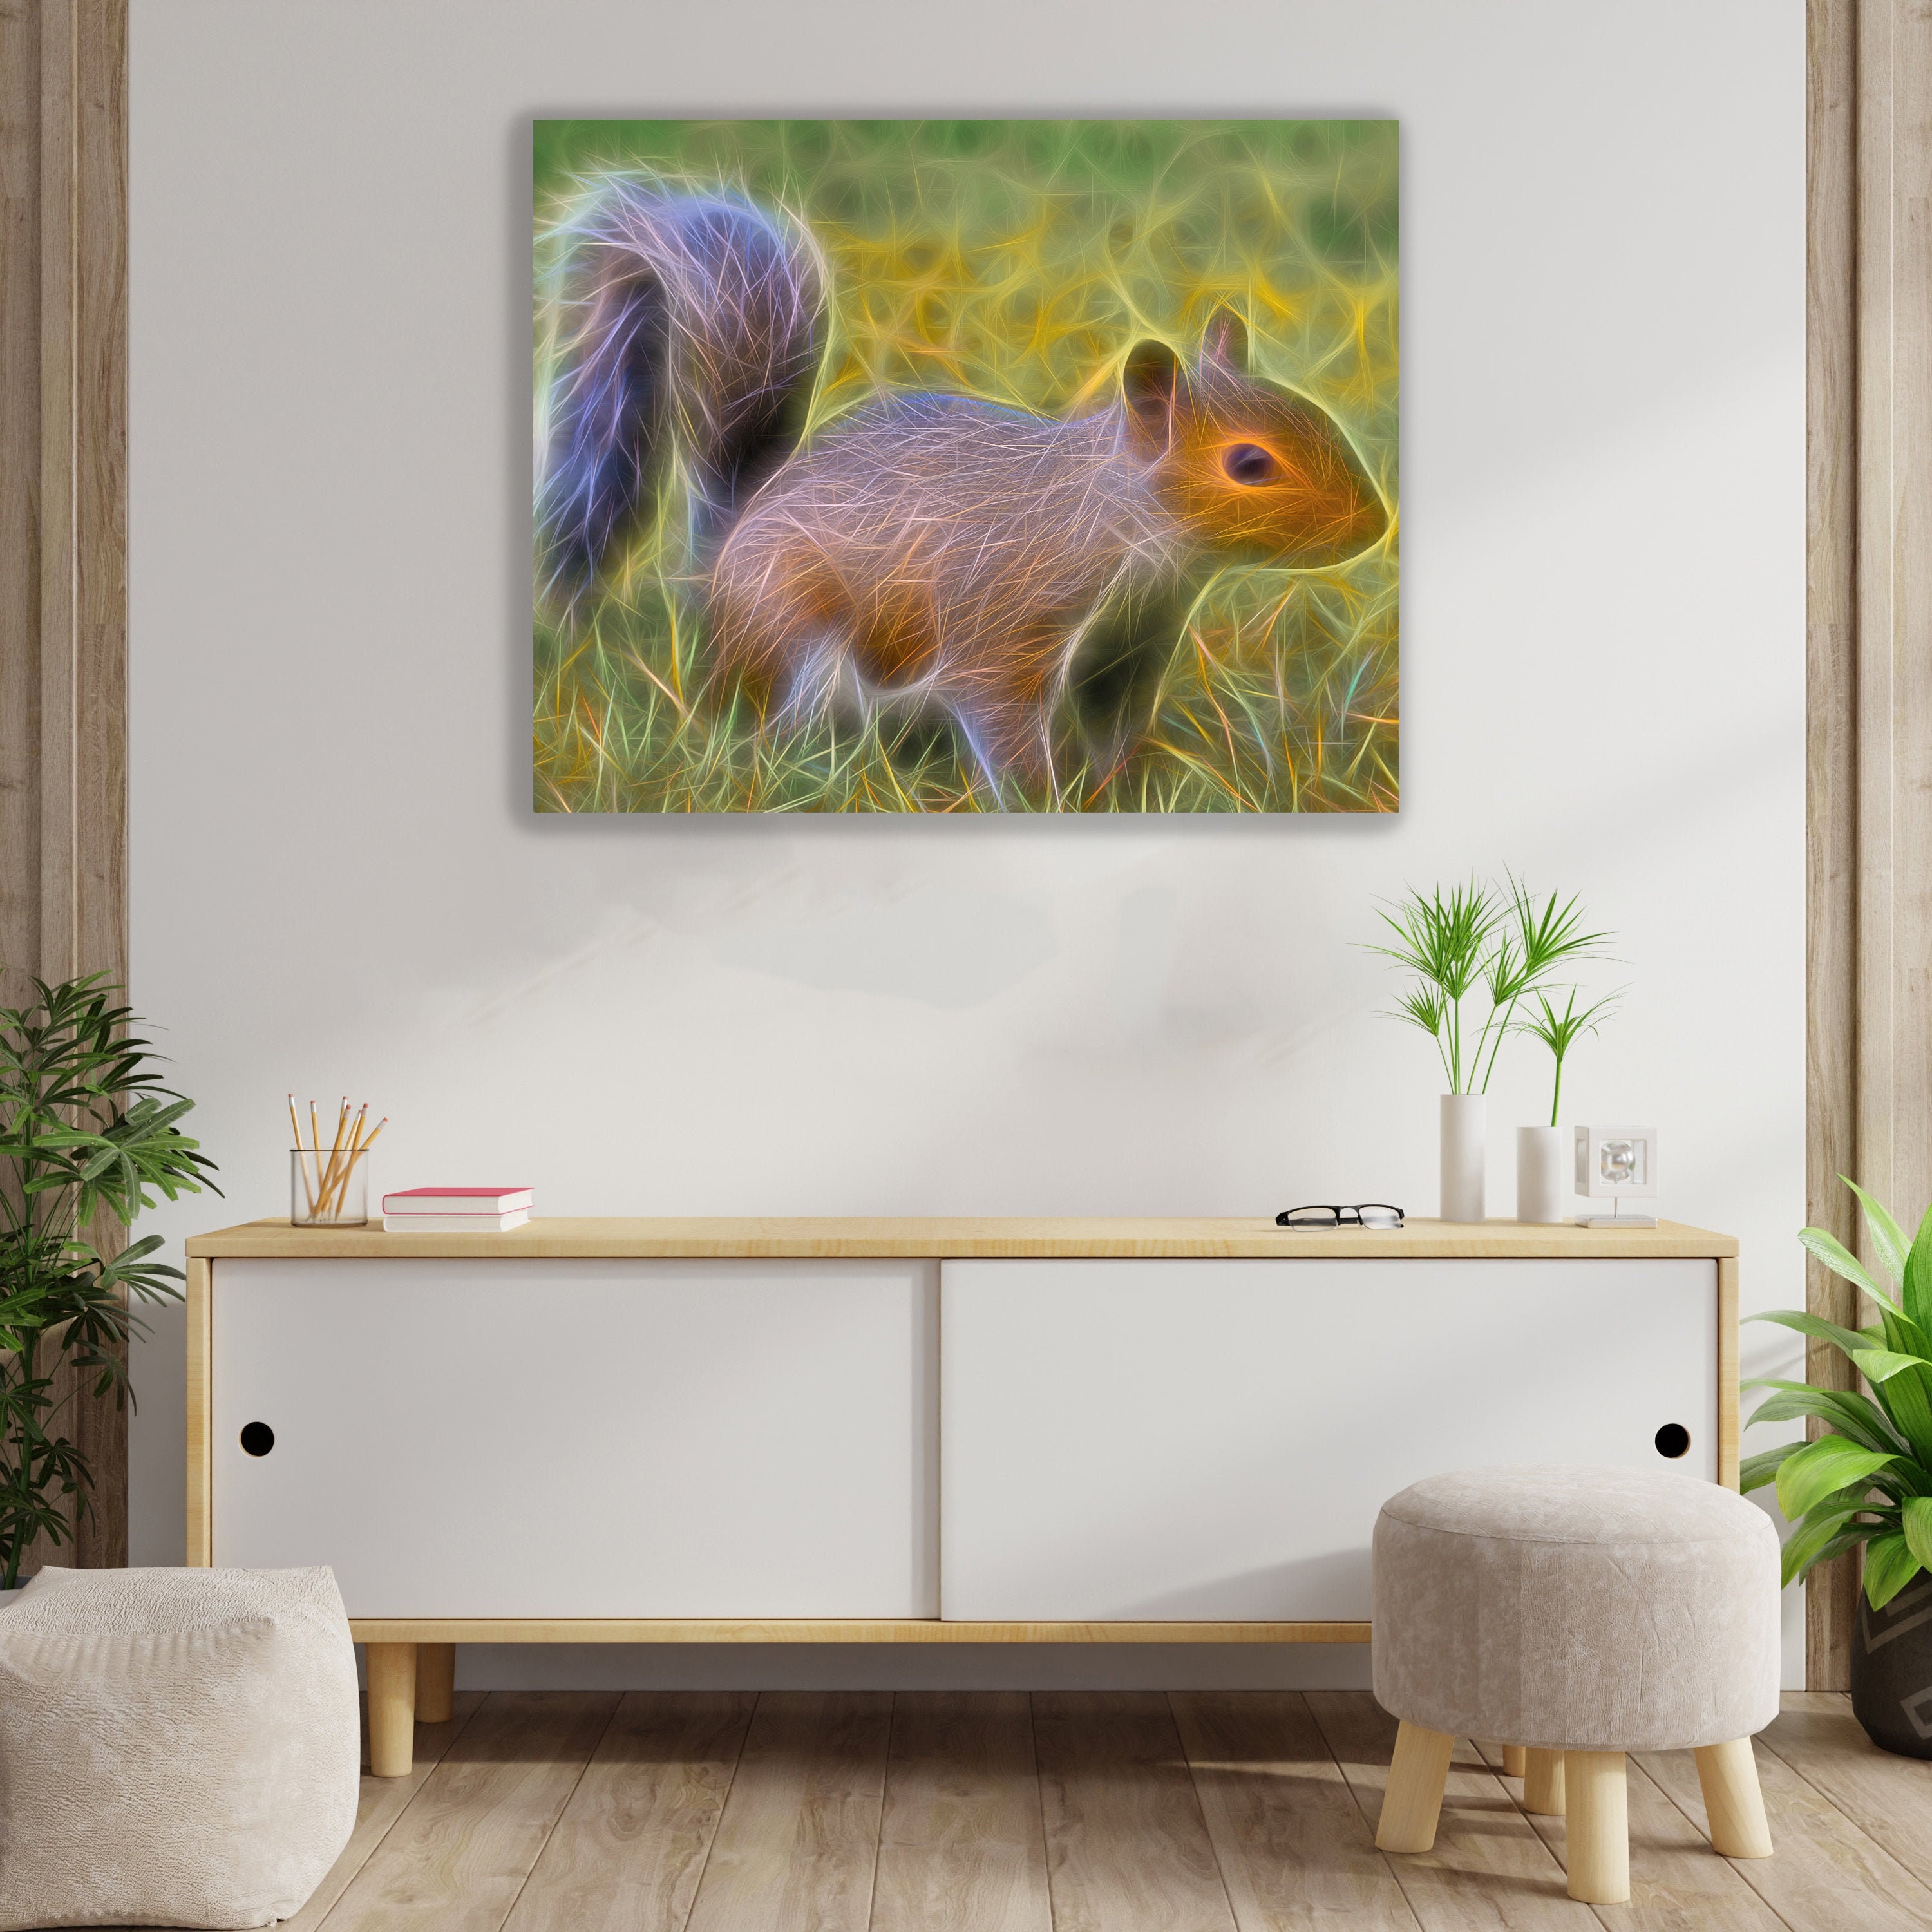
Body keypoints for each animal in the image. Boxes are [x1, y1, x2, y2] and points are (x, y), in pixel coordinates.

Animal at [538, 175, 1389, 786]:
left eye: (1314, 414)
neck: (1127, 533)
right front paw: (1042, 798)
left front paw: (1120, 783)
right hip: (789, 640)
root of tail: (720, 560)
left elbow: (1112, 723)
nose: (1376, 527)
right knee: (773, 729)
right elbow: (1002, 718)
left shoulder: (1131, 639)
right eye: (1249, 465)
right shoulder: (1006, 621)